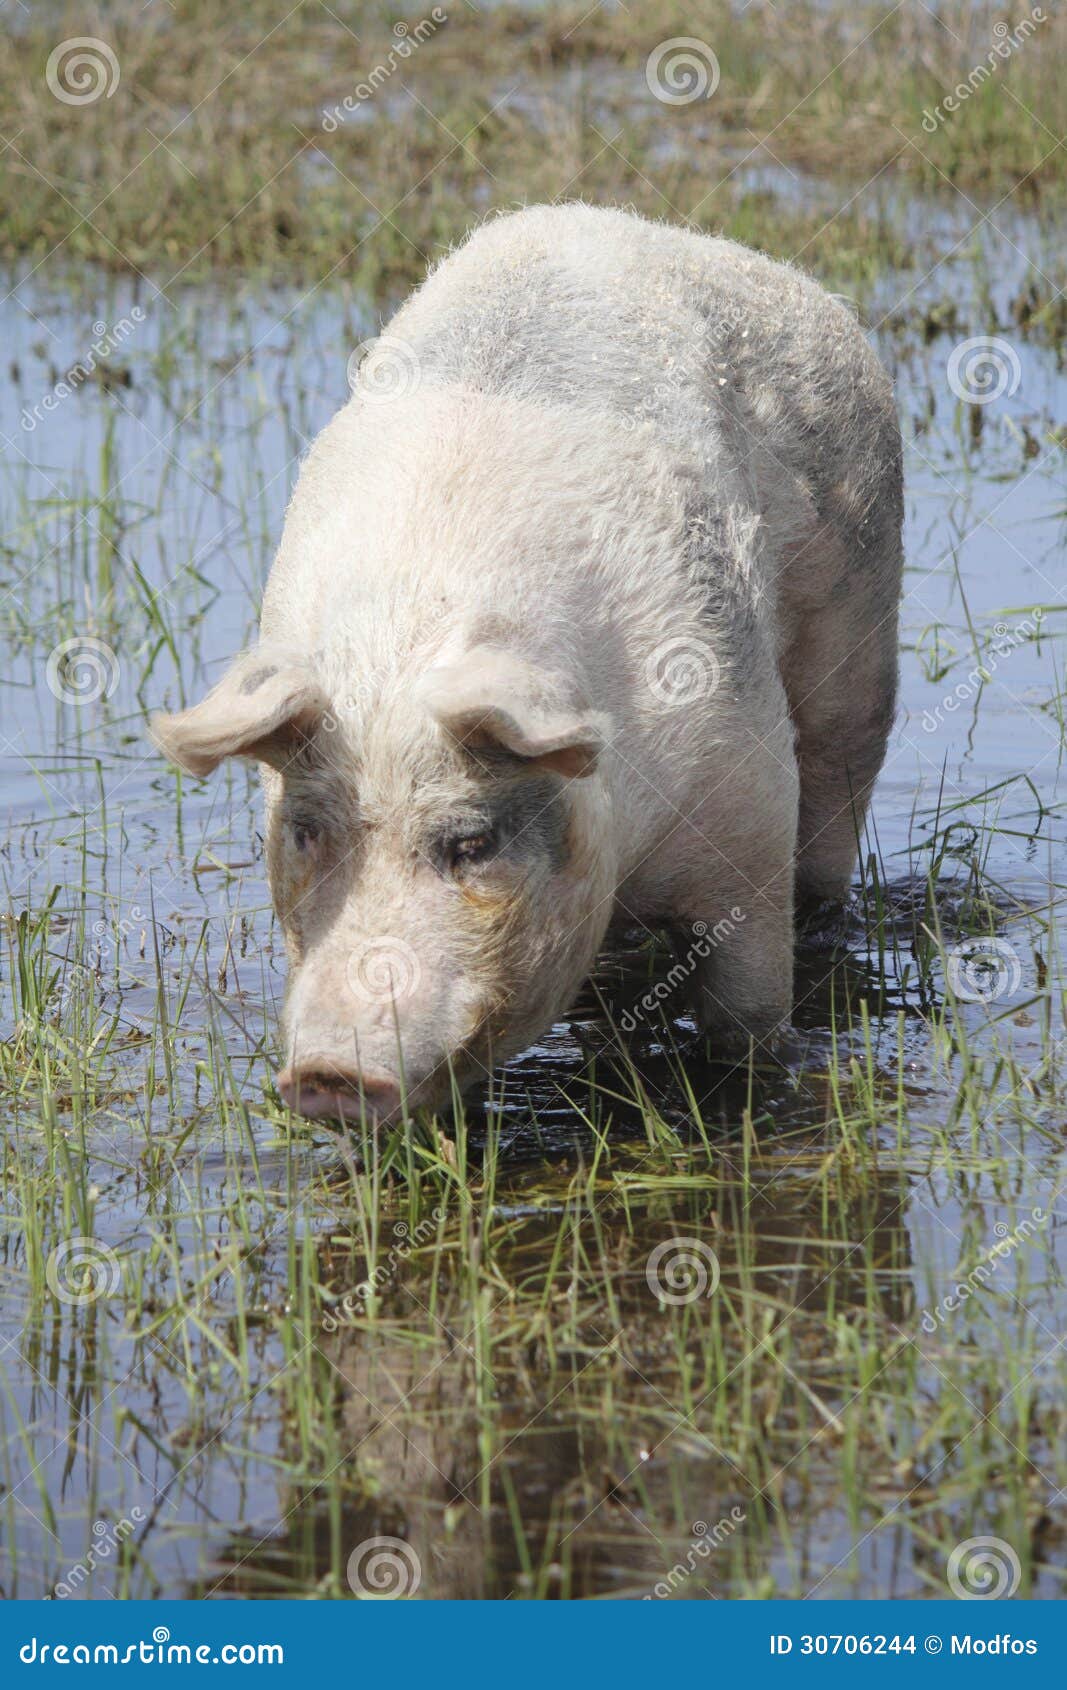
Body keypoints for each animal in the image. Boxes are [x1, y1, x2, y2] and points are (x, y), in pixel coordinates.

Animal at [151, 203, 902, 1125]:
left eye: (471, 842)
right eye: (305, 831)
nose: (328, 1074)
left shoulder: (746, 802)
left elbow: (748, 1003)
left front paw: (761, 1074)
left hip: (861, 612)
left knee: (838, 785)